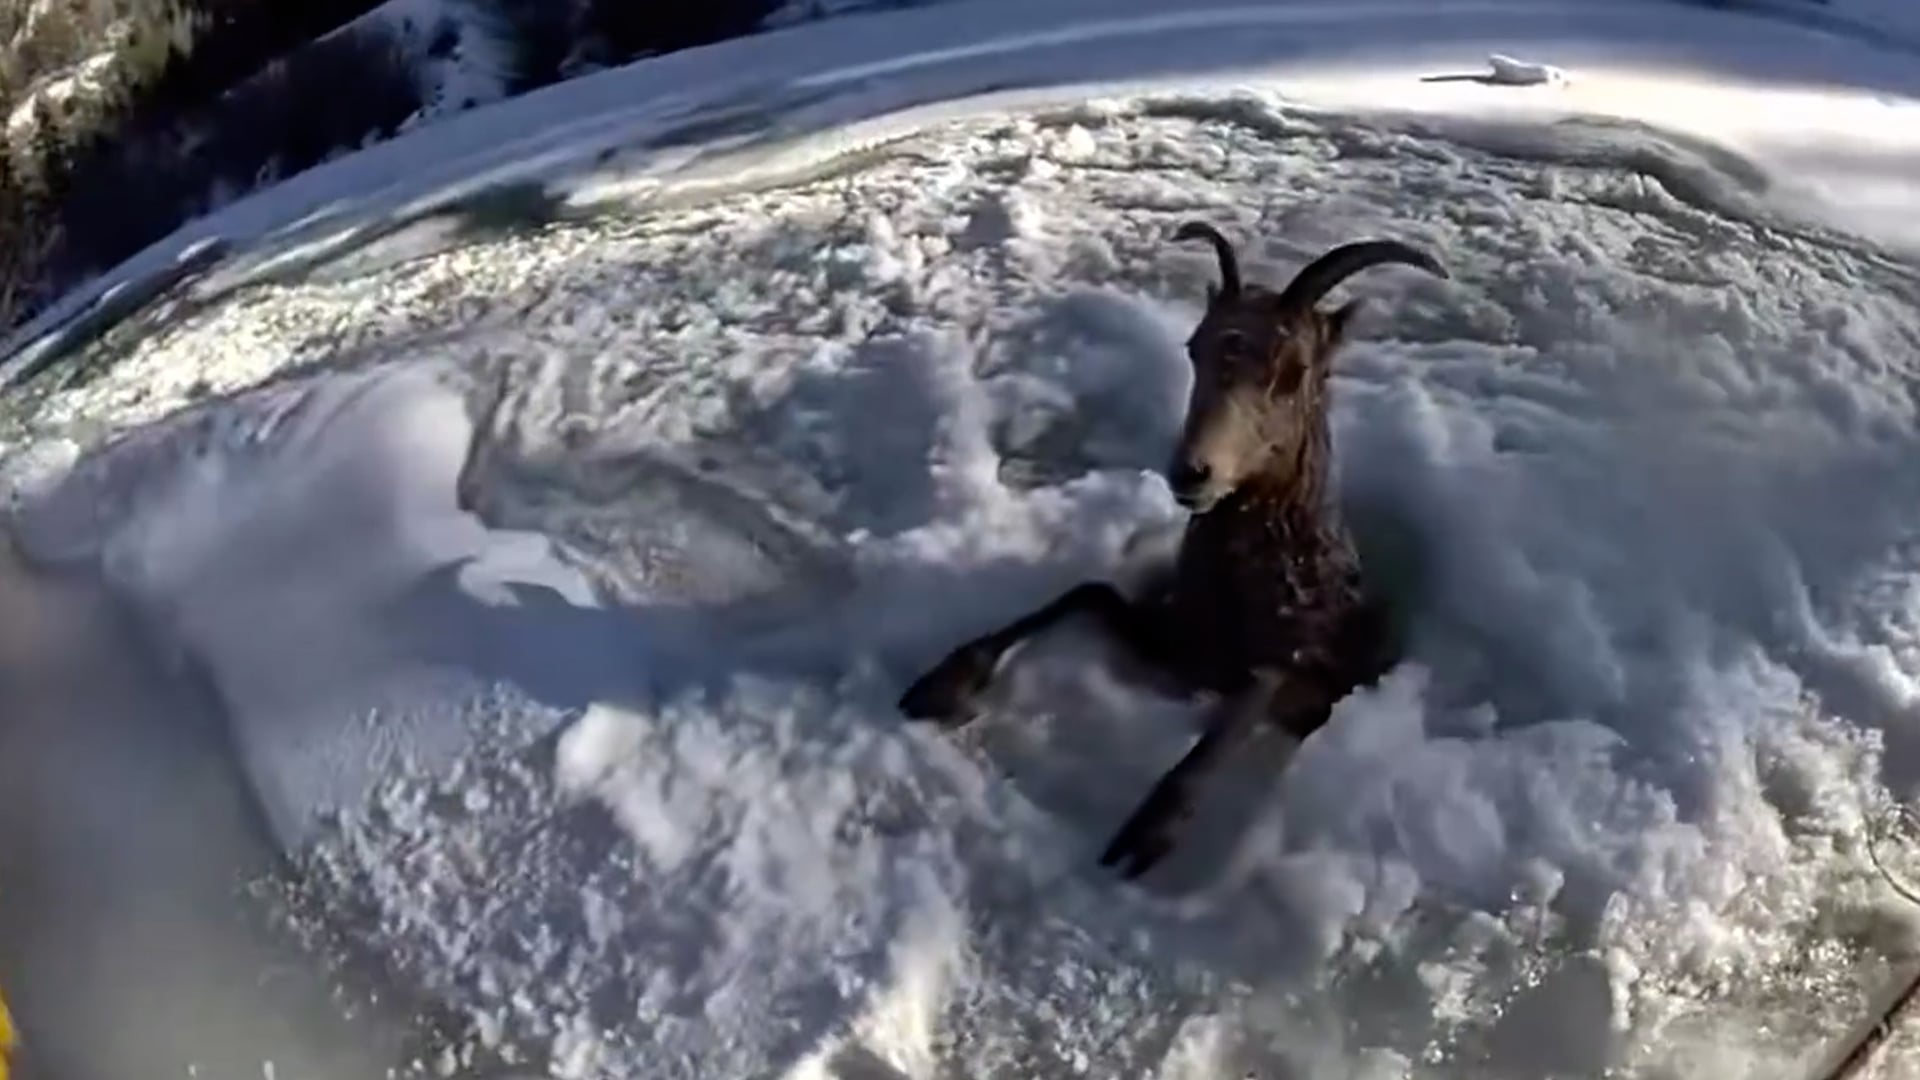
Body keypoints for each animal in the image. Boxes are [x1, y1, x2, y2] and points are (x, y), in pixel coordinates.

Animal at [897, 221, 1448, 878]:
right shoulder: (1175, 644)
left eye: (1295, 369)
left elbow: (1251, 698)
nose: (1191, 473)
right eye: (1195, 347)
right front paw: (942, 683)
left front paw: (1147, 834)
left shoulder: (1304, 676)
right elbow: (1089, 592)